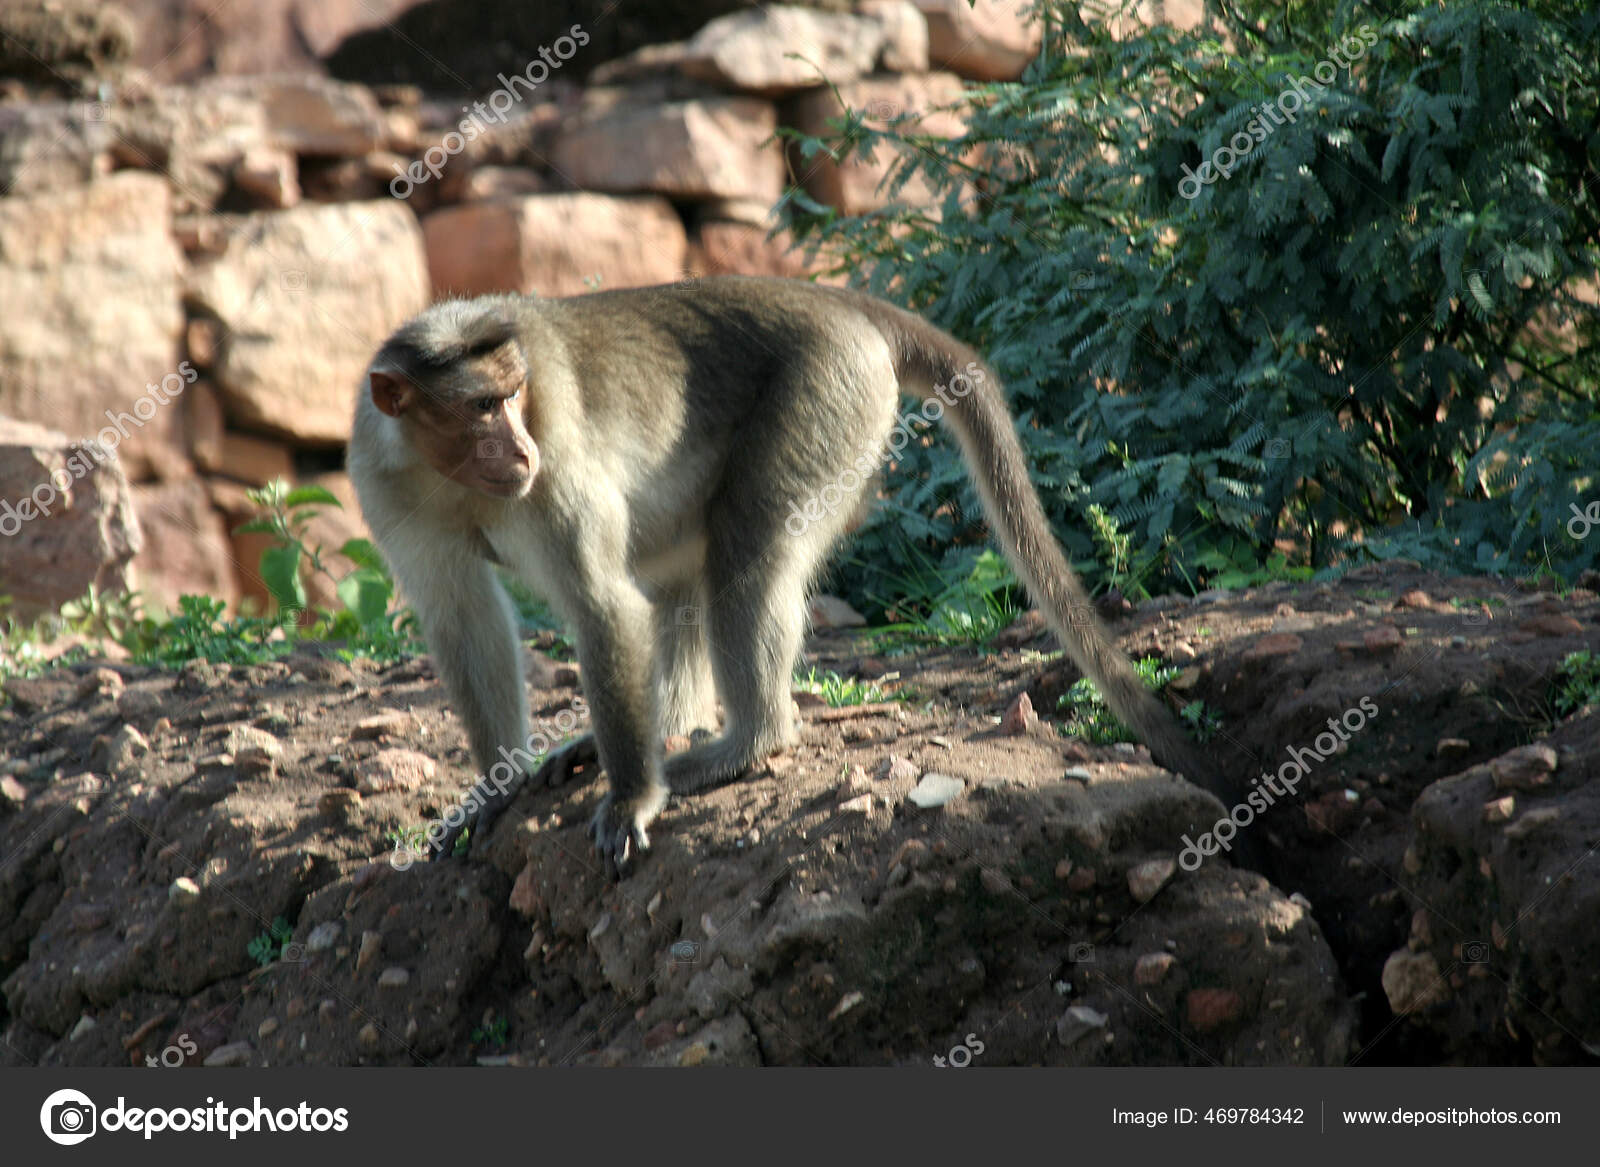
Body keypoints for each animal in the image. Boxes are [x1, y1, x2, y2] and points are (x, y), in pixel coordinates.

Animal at [348, 276, 1245, 878]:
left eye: (515, 395)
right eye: (481, 407)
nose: (519, 448)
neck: (449, 473)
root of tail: (841, 305)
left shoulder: (559, 454)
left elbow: (604, 607)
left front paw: (632, 795)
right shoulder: (384, 479)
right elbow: (462, 619)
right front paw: (492, 790)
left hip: (829, 396)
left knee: (744, 555)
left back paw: (744, 742)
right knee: (688, 565)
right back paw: (674, 726)